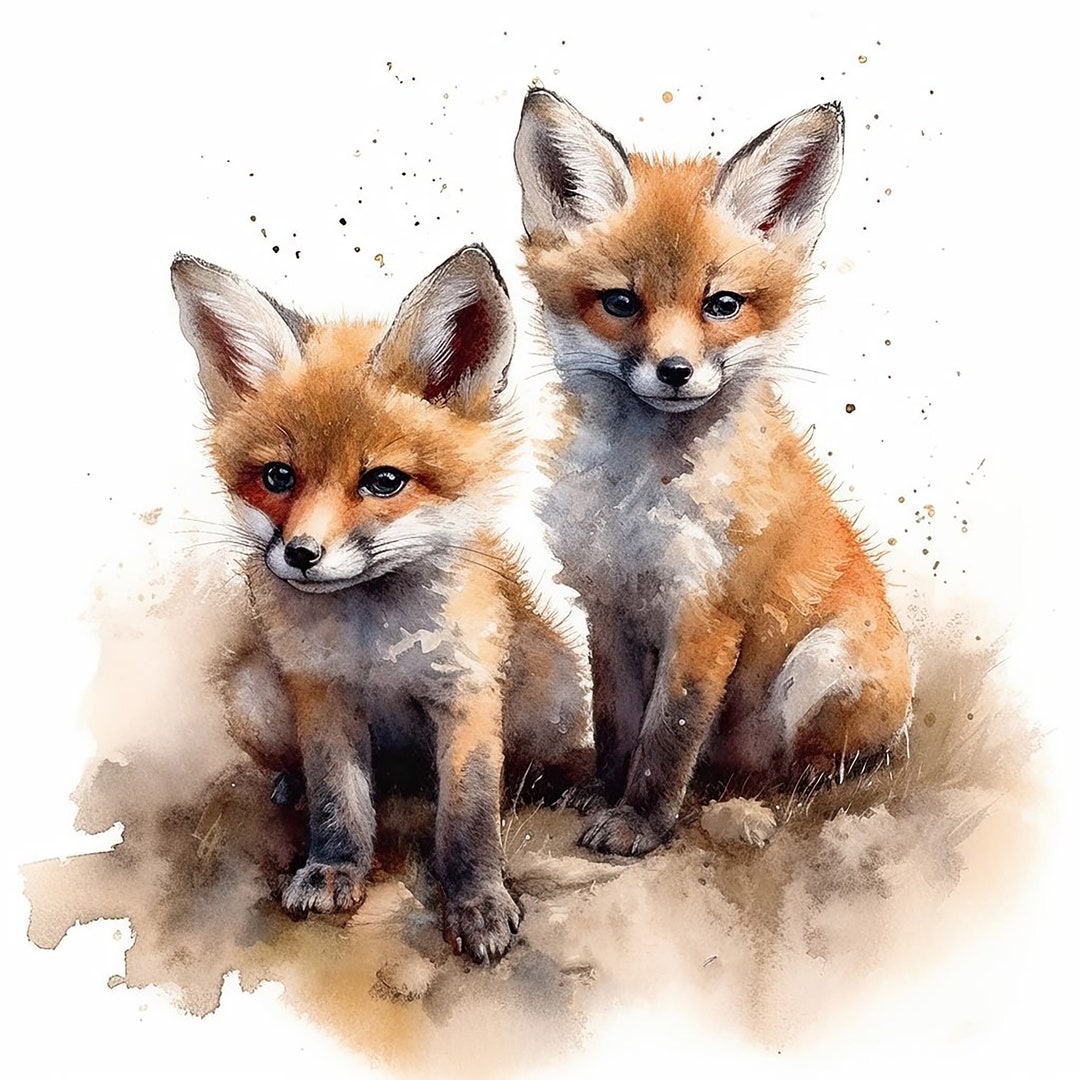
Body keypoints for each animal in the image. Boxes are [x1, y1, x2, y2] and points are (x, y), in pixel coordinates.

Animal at [170, 244, 590, 962]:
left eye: (384, 481)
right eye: (278, 477)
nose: (301, 554)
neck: (376, 640)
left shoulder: (466, 691)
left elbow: (468, 817)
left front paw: (478, 902)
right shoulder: (320, 690)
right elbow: (338, 800)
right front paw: (334, 868)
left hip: (558, 691)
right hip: (249, 693)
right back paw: (289, 785)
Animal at [513, 89, 913, 857]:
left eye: (721, 304)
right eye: (621, 302)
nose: (675, 371)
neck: (640, 492)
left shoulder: (706, 609)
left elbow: (668, 734)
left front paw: (640, 821)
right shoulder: (608, 603)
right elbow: (617, 724)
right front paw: (604, 793)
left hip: (818, 668)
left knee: (805, 767)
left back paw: (752, 797)